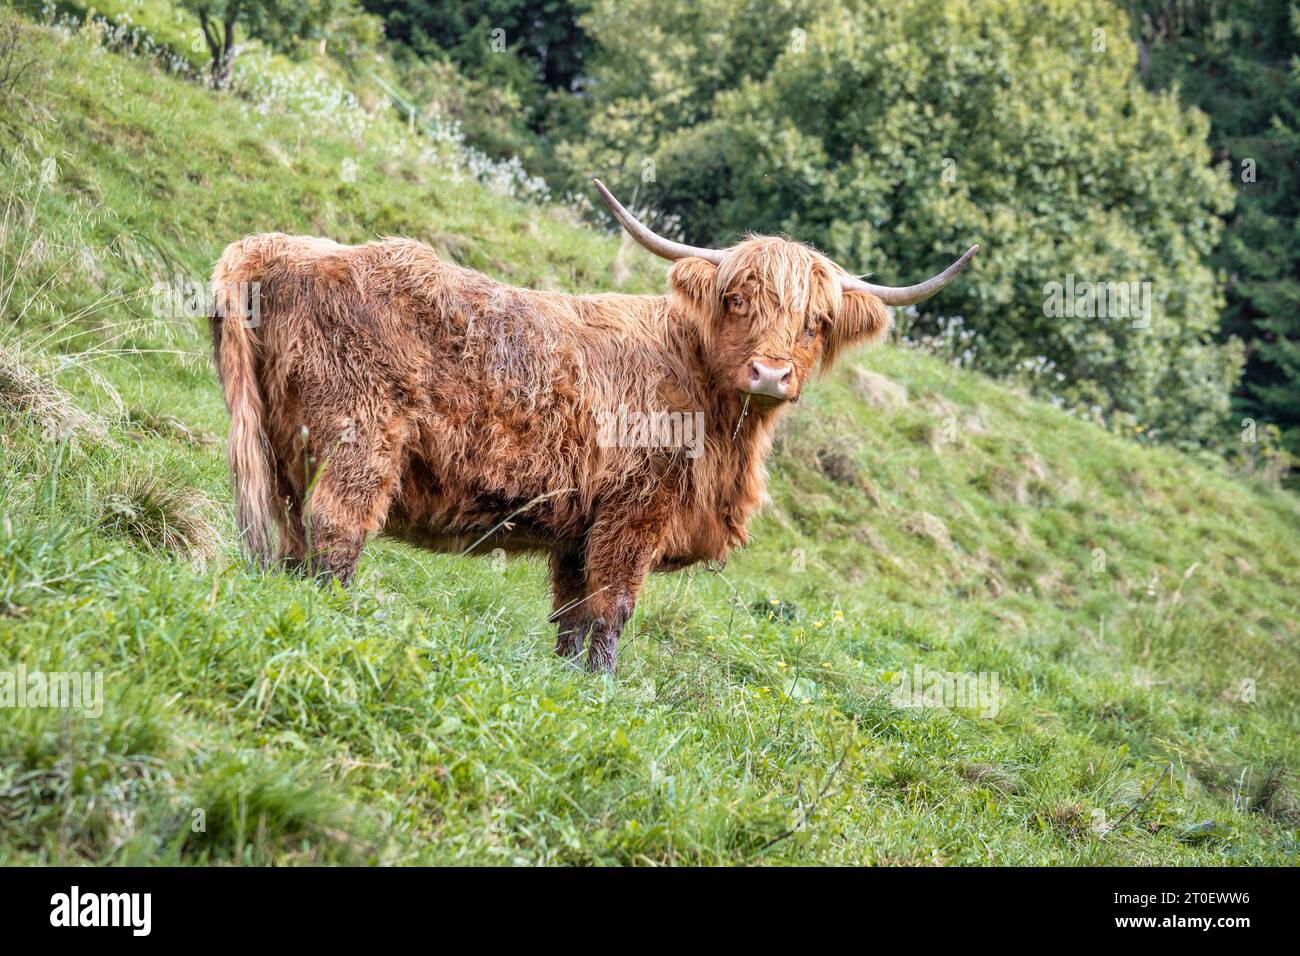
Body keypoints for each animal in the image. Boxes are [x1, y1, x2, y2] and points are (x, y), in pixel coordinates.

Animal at [210, 181, 977, 672]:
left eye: (816, 322)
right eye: (737, 299)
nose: (769, 373)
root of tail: (279, 247)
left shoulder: (581, 528)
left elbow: (571, 618)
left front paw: (570, 682)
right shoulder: (633, 514)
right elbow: (610, 611)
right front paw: (606, 690)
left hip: (280, 448)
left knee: (289, 537)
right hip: (361, 437)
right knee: (336, 531)